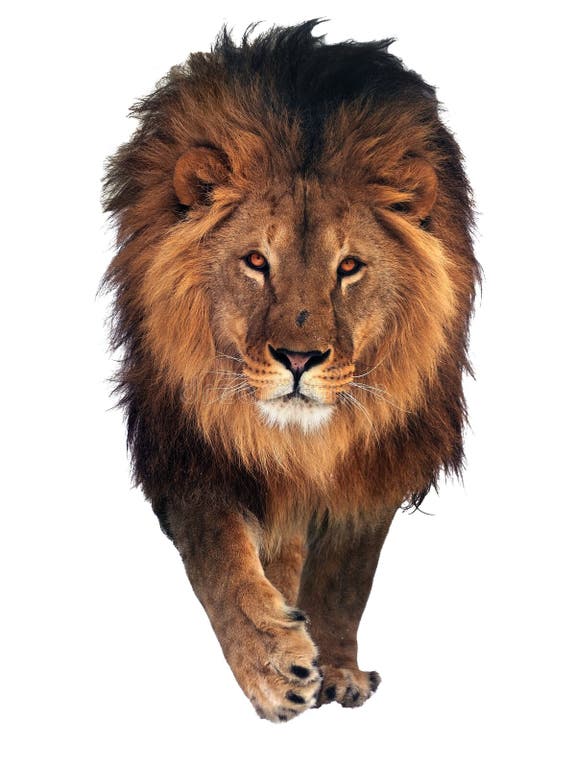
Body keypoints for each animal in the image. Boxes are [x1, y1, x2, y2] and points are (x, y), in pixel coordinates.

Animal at [102, 21, 480, 722]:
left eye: (349, 267)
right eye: (256, 261)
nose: (299, 360)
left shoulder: (378, 459)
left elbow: (347, 577)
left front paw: (337, 669)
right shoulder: (191, 447)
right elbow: (221, 560)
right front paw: (274, 666)